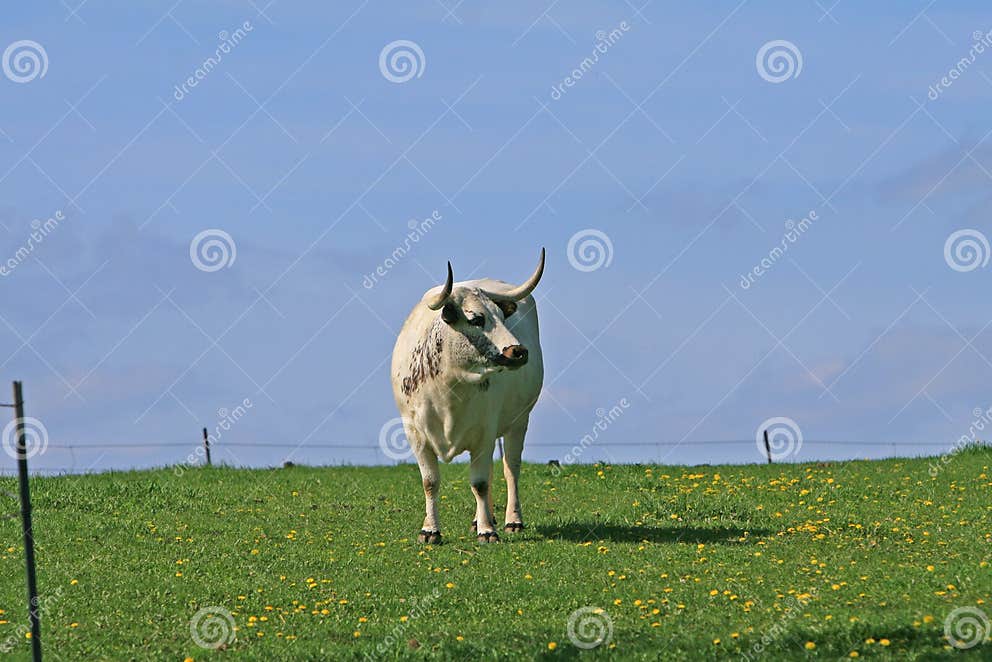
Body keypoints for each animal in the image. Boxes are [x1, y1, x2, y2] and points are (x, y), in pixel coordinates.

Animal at [390, 249, 545, 544]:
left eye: (502, 317)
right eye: (476, 319)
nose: (519, 351)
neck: (449, 385)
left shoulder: (485, 430)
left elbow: (480, 483)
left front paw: (487, 532)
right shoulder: (415, 432)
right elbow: (430, 481)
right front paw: (430, 530)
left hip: (519, 421)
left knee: (510, 468)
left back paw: (512, 521)